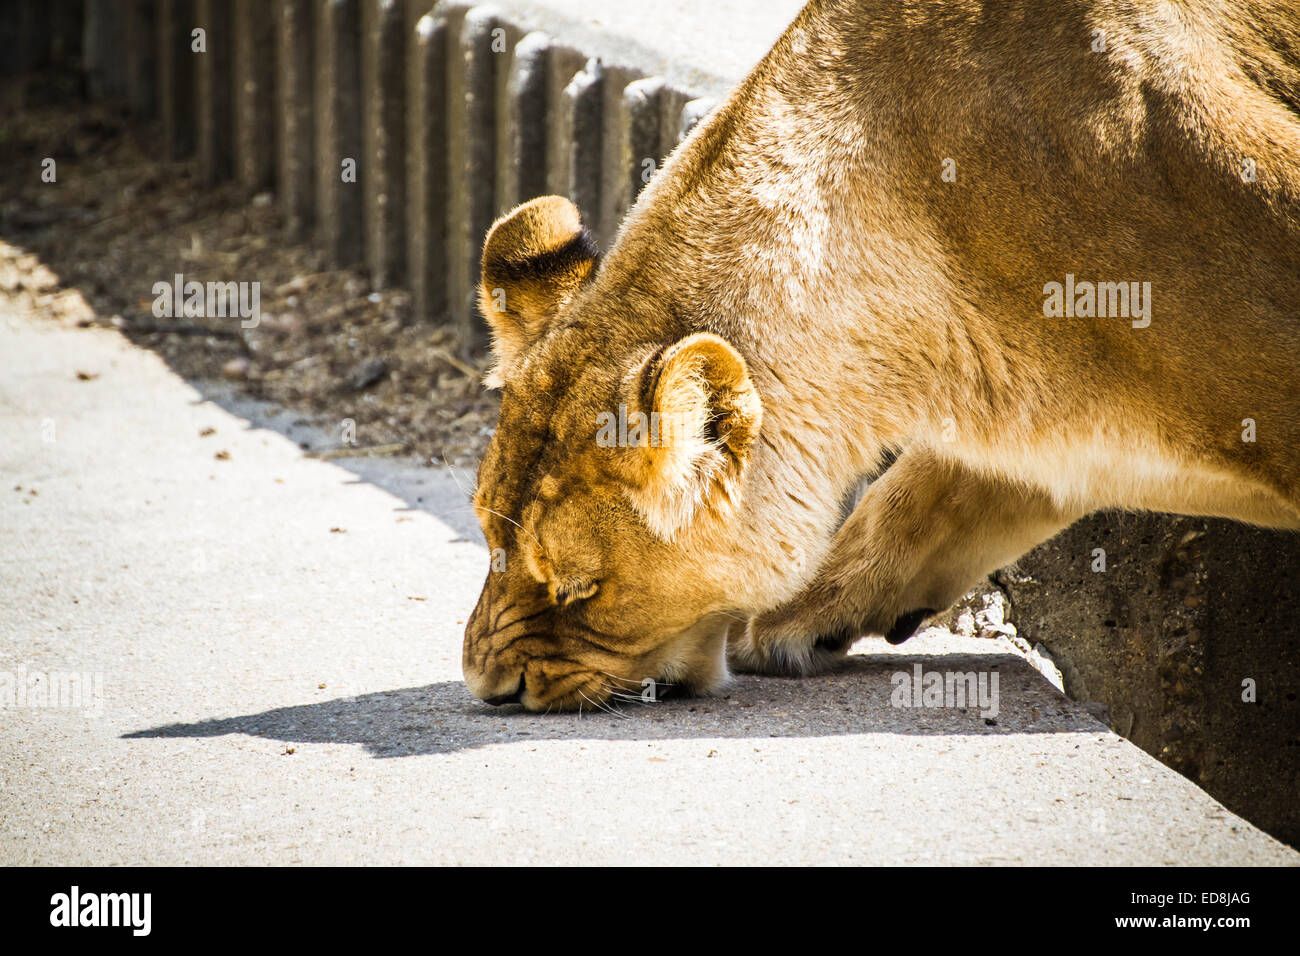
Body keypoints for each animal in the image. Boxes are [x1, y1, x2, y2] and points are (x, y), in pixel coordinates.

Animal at [462, 0, 1300, 710]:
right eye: (487, 540)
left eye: (581, 590)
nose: (485, 687)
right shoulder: (1050, 432)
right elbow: (913, 500)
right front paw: (802, 616)